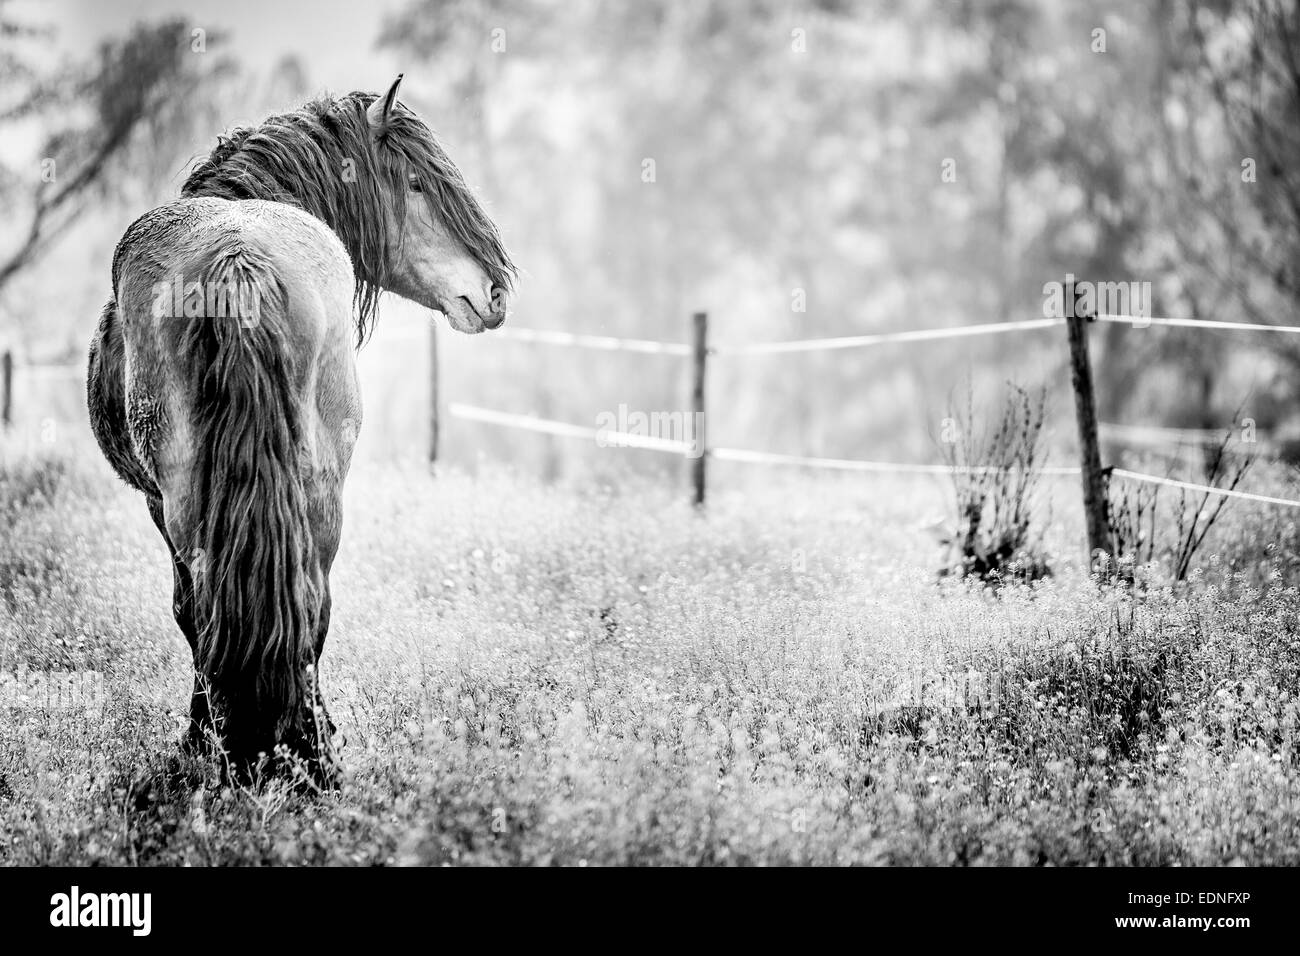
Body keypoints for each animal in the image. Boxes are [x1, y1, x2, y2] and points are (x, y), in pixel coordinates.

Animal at [86, 75, 515, 781]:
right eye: (417, 182)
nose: (496, 290)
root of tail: (237, 258)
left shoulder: (157, 506)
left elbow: (186, 614)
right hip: (313, 494)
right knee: (302, 602)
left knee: (232, 606)